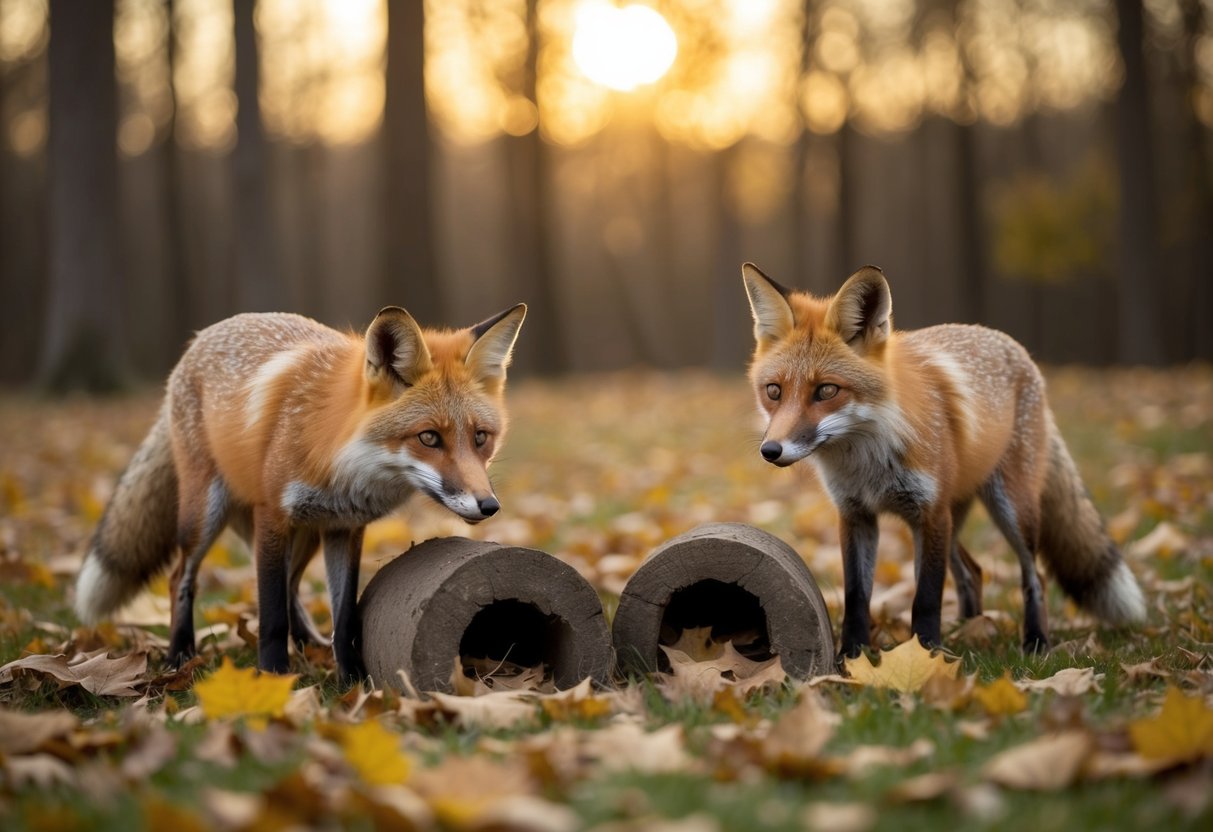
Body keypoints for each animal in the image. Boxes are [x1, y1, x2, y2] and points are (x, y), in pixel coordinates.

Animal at [75, 303, 527, 681]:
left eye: (481, 438)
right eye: (429, 437)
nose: (488, 506)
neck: (342, 464)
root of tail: (202, 336)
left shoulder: (345, 528)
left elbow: (344, 618)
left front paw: (353, 681)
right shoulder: (273, 515)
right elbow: (271, 614)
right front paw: (274, 679)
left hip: (305, 533)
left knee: (291, 586)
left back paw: (311, 643)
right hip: (205, 515)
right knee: (179, 578)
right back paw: (179, 653)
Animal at [741, 262, 1145, 657]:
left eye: (826, 390)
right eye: (773, 391)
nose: (771, 450)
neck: (869, 460)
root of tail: (1016, 348)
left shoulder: (930, 513)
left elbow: (927, 597)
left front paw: (927, 655)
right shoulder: (856, 515)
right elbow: (857, 596)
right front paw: (851, 658)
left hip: (1011, 509)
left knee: (1036, 576)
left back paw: (1035, 642)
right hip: (955, 518)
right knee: (973, 572)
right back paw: (971, 629)